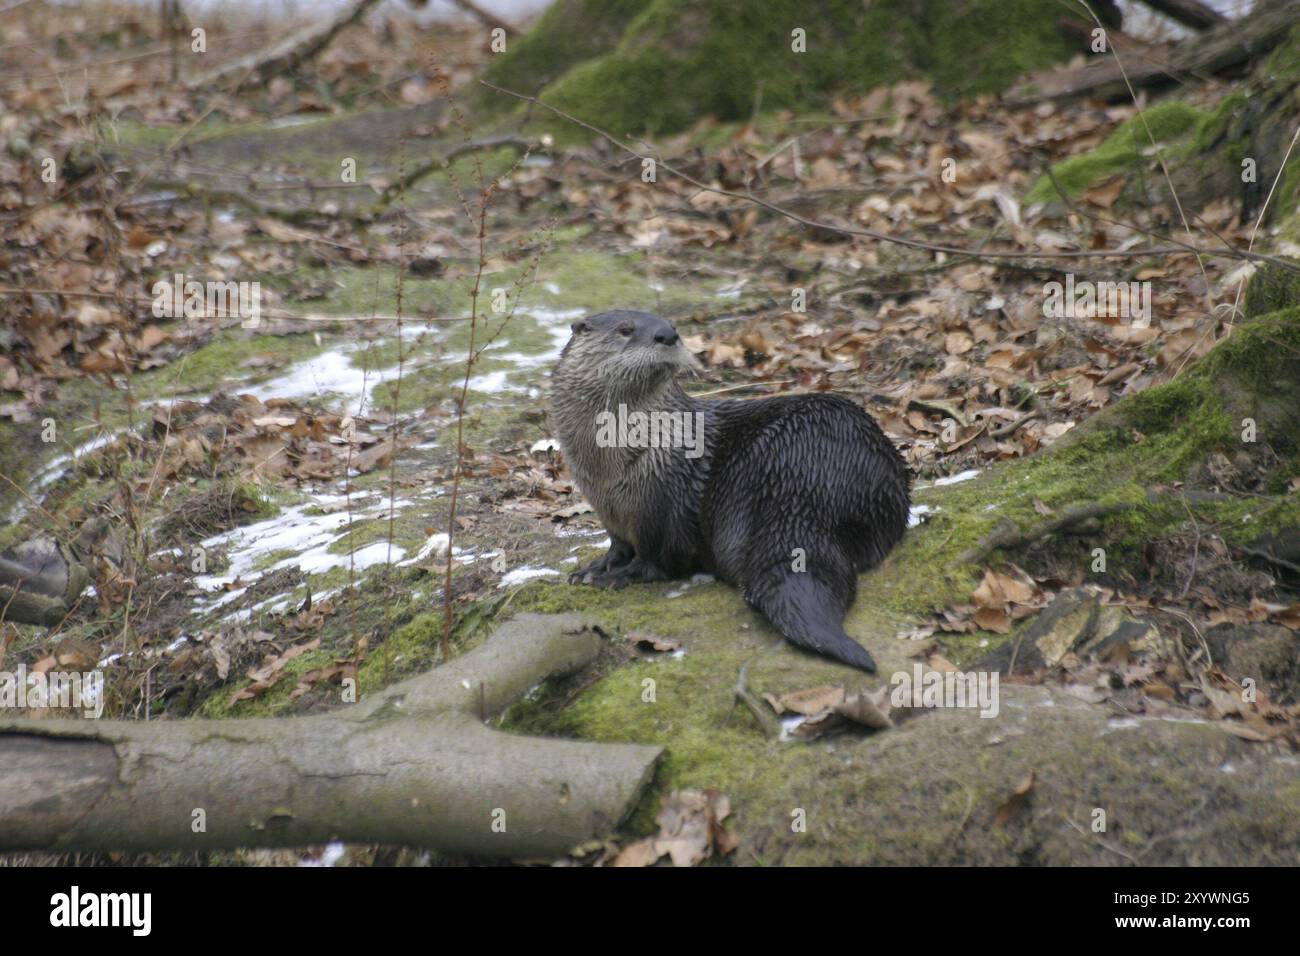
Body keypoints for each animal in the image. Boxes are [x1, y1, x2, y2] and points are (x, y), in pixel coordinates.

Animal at [551, 310, 910, 672]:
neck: (610, 469)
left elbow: (658, 558)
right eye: (625, 330)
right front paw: (596, 567)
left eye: (672, 325)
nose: (667, 335)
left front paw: (617, 575)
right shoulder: (605, 505)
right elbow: (619, 544)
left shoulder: (660, 503)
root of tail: (807, 474)